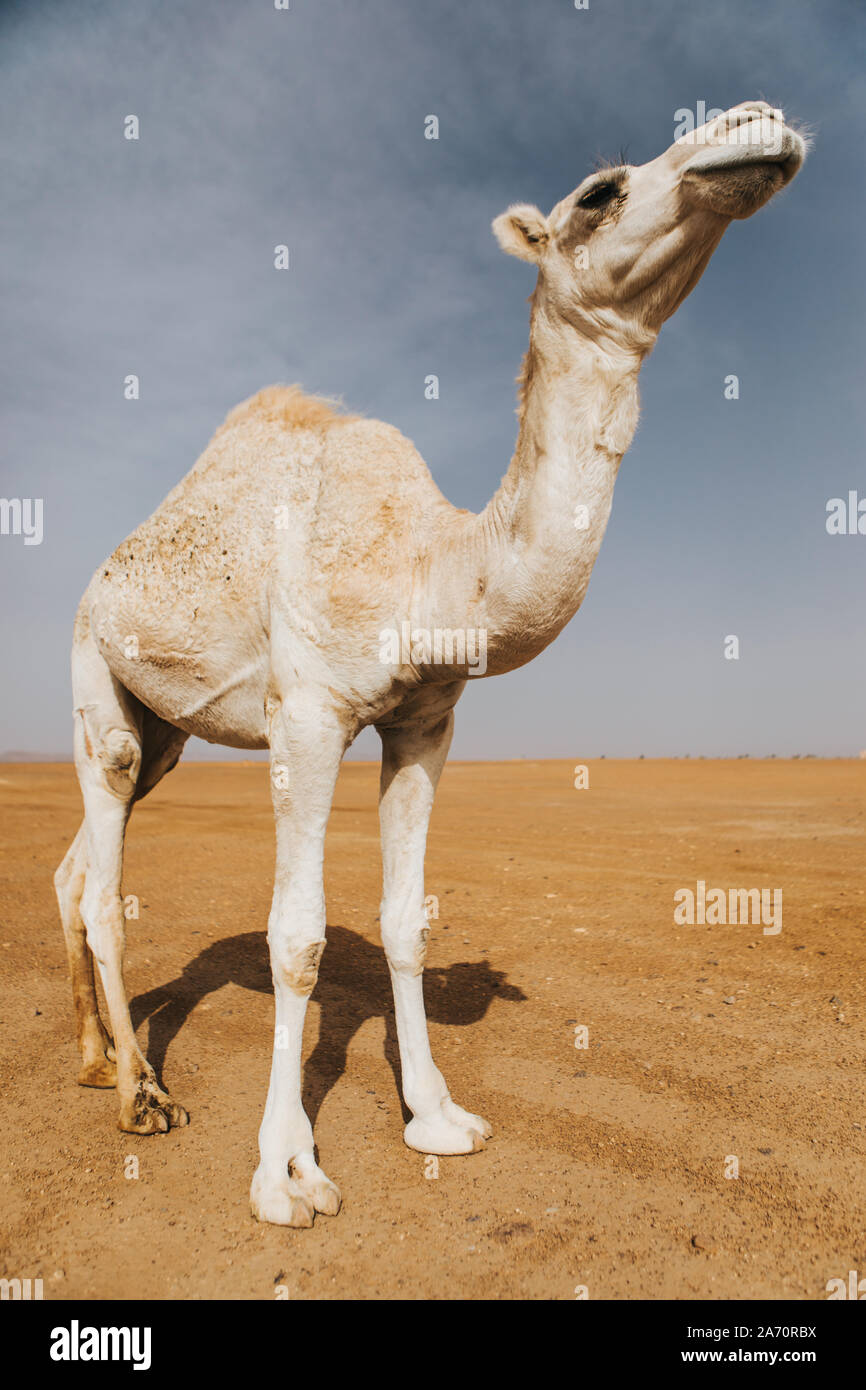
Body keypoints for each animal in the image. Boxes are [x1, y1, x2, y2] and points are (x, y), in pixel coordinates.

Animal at [55, 102, 805, 1226]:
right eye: (599, 193)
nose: (757, 126)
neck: (429, 568)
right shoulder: (307, 712)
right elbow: (297, 940)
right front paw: (286, 1173)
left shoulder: (424, 721)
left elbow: (406, 922)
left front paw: (438, 1118)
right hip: (92, 672)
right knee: (104, 879)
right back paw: (143, 1095)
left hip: (165, 731)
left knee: (76, 866)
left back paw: (100, 1059)